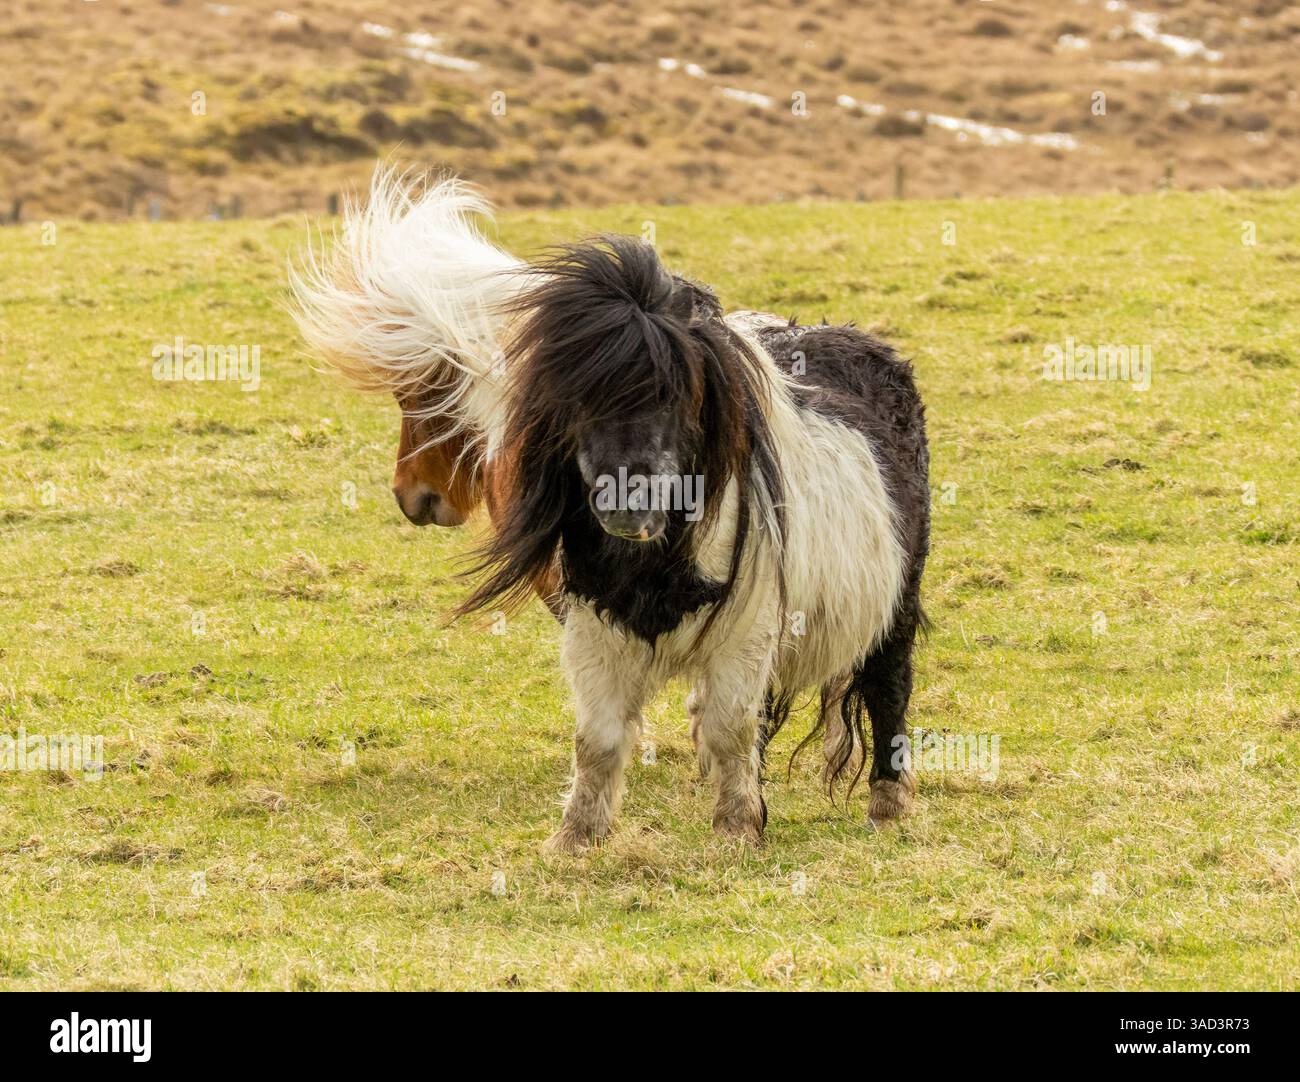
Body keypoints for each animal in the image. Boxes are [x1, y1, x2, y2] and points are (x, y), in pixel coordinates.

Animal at [459, 236, 931, 853]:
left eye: (677, 397)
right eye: (579, 399)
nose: (627, 507)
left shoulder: (746, 628)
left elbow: (732, 728)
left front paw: (736, 829)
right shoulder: (593, 624)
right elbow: (598, 738)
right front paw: (576, 838)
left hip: (898, 599)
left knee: (887, 685)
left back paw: (888, 805)